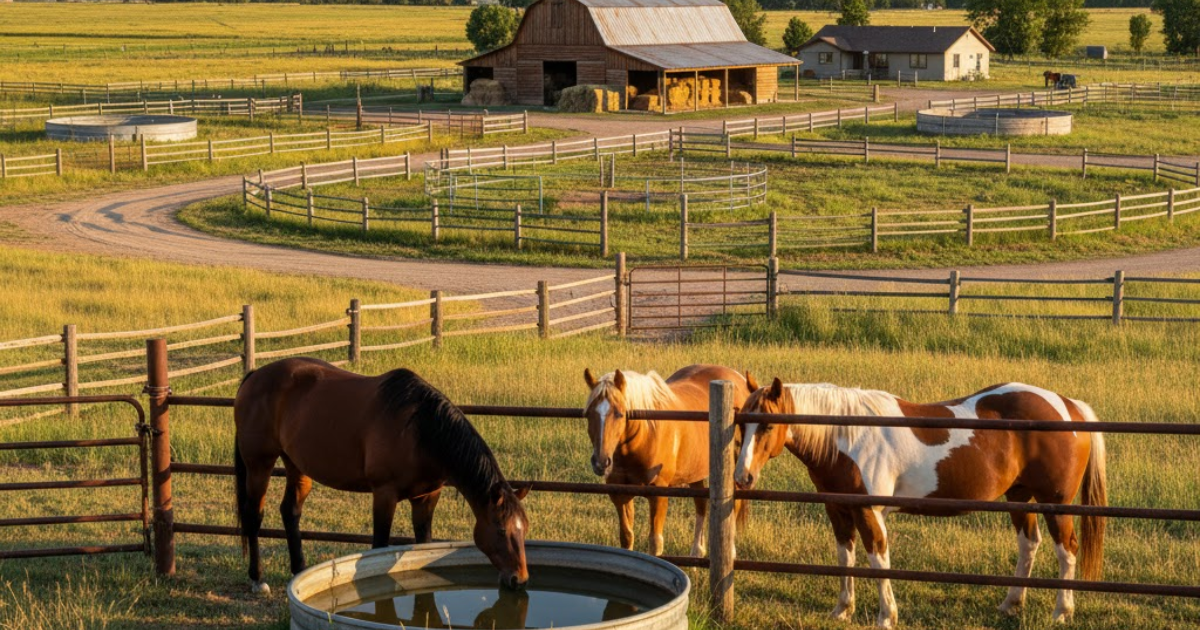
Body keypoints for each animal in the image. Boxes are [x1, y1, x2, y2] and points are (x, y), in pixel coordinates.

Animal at [234, 358, 530, 593]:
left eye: (523, 528)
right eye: (501, 529)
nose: (520, 579)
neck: (419, 429)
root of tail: (255, 375)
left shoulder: (427, 497)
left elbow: (424, 544)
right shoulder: (384, 494)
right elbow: (378, 547)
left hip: (297, 465)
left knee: (290, 511)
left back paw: (299, 570)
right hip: (259, 464)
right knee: (254, 516)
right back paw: (257, 579)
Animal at [582, 364, 752, 557]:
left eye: (619, 414)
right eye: (588, 414)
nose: (601, 462)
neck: (646, 434)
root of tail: (738, 377)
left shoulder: (659, 495)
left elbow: (655, 542)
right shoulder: (620, 494)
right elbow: (626, 537)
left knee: (733, 506)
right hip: (695, 470)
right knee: (701, 504)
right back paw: (697, 552)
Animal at [734, 378, 1107, 628]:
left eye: (767, 424)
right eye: (740, 422)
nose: (742, 477)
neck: (846, 436)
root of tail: (1068, 405)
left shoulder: (869, 512)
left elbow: (878, 559)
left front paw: (887, 616)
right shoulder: (838, 510)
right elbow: (845, 558)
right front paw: (843, 609)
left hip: (1055, 504)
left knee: (1067, 550)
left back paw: (1062, 612)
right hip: (1019, 497)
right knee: (1029, 544)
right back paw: (1011, 603)